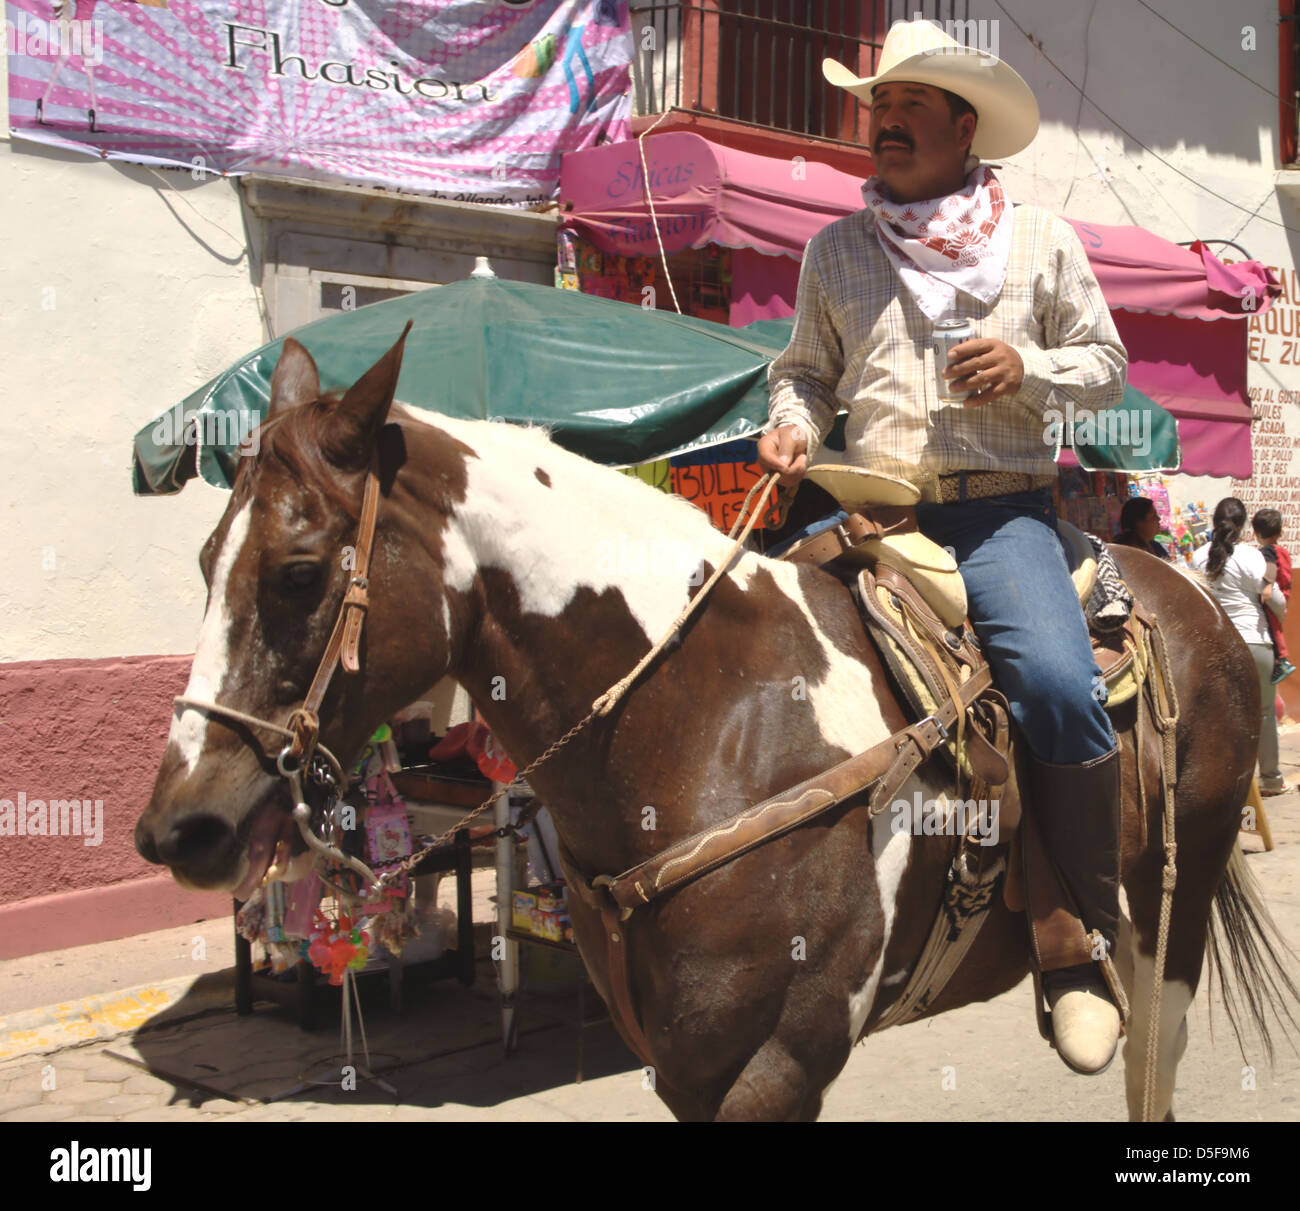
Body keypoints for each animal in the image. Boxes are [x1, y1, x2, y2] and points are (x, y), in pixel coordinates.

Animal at [137, 332, 1294, 1127]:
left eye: (297, 573)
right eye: (199, 562)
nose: (178, 828)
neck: (709, 718)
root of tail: (1182, 591)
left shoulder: (773, 1064)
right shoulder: (683, 1062)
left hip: (1175, 898)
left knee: (1150, 1055)